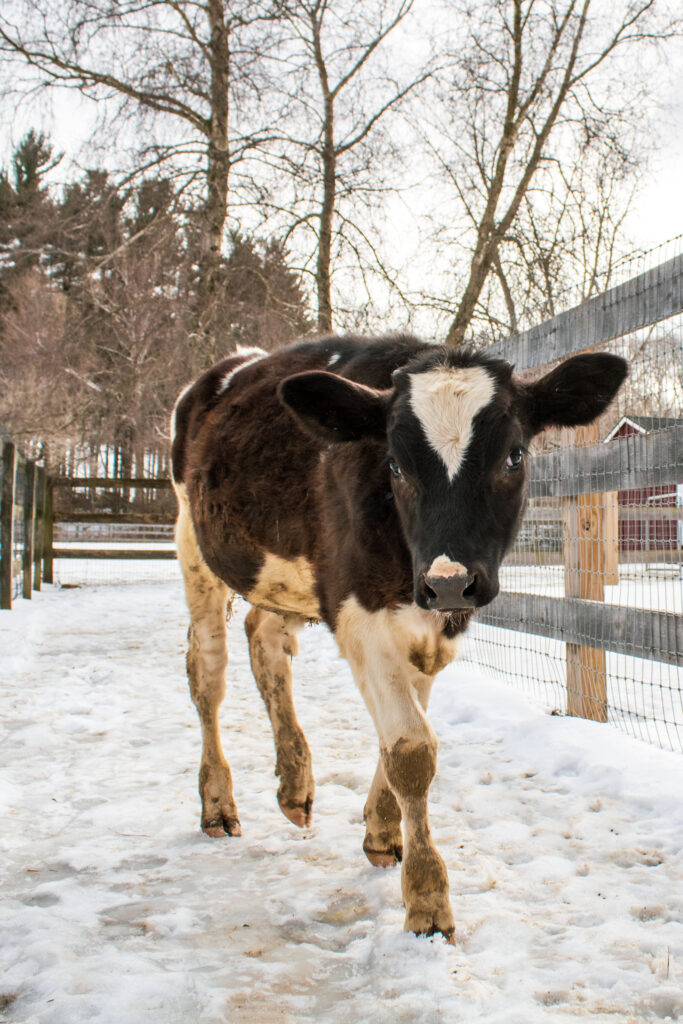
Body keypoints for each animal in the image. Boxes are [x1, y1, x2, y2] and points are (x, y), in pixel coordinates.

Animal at [170, 333, 627, 942]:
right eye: (394, 464)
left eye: (514, 455)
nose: (450, 580)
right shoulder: (357, 614)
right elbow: (411, 748)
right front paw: (428, 900)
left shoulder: (433, 627)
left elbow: (405, 731)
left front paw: (384, 830)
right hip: (194, 545)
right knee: (207, 672)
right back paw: (218, 801)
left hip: (285, 579)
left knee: (263, 640)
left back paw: (294, 782)